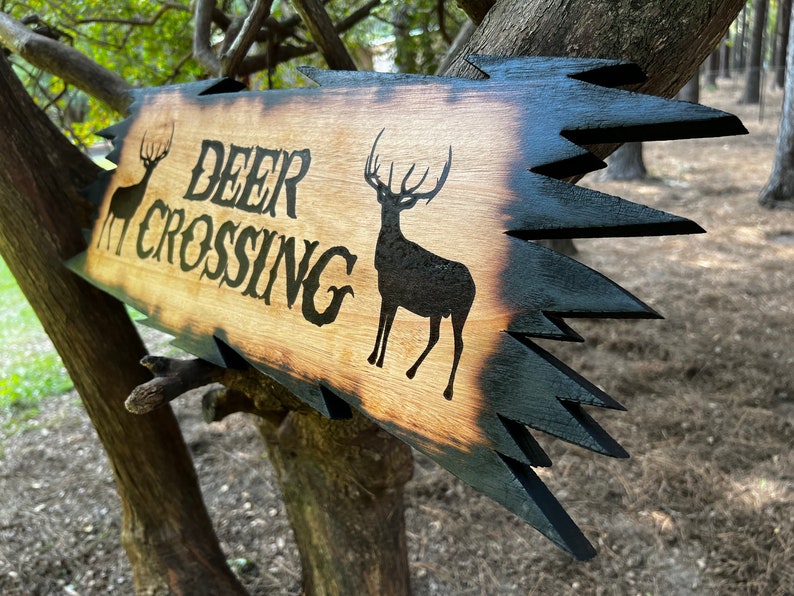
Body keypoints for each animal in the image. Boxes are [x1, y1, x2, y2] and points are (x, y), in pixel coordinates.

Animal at [97, 125, 174, 256]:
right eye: (148, 165)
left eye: (154, 165)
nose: (151, 169)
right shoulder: (129, 214)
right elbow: (124, 230)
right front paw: (118, 252)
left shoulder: (131, 215)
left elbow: (125, 230)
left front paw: (117, 251)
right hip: (111, 208)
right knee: (106, 221)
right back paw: (99, 245)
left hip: (116, 212)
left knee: (111, 223)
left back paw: (107, 247)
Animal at [364, 129, 476, 400]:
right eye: (384, 201)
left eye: (398, 207)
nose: (388, 217)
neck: (388, 261)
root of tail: (474, 285)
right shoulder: (386, 294)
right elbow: (382, 323)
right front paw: (373, 358)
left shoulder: (395, 295)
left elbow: (388, 326)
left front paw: (379, 361)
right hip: (438, 310)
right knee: (435, 337)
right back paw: (411, 371)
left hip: (461, 309)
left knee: (459, 343)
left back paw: (447, 392)